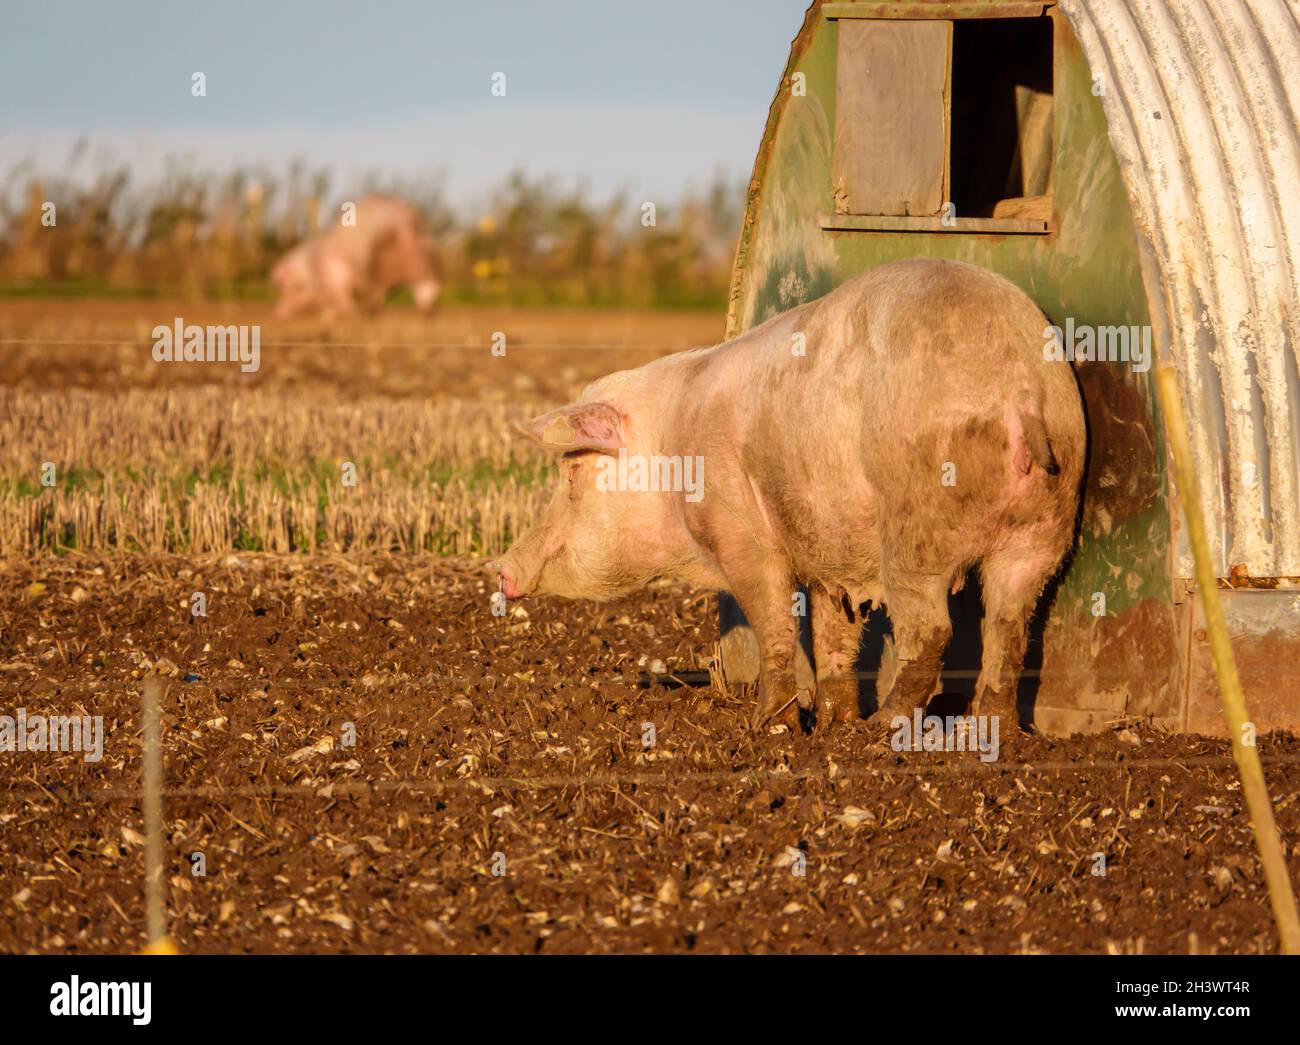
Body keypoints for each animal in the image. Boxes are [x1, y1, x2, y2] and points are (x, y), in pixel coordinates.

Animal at [271, 195, 442, 320]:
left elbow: (339, 299)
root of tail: (404, 217)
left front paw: (344, 315)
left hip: (376, 259)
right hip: (425, 252)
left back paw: (366, 312)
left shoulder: (332, 279)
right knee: (426, 283)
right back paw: (426, 311)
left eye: (284, 288)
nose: (276, 313)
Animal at [489, 258, 1085, 732]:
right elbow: (832, 632)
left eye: (573, 473)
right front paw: (834, 721)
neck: (673, 448)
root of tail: (1018, 388)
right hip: (1047, 522)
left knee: (933, 627)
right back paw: (996, 730)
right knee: (1009, 625)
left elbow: (772, 618)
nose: (500, 567)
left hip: (919, 517)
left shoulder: (738, 531)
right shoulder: (826, 548)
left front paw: (769, 726)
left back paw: (886, 727)